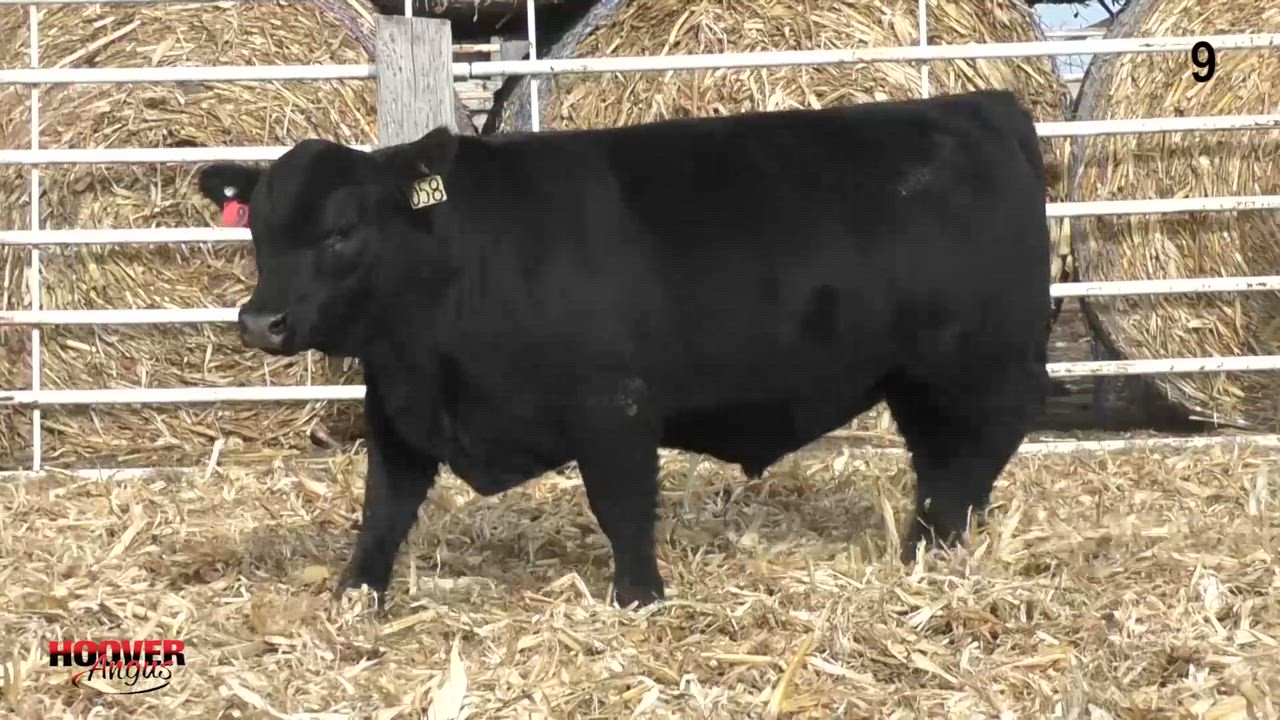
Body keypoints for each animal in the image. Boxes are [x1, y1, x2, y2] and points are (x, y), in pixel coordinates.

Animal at [197, 89, 1051, 610]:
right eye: (258, 226)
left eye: (341, 231)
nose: (261, 321)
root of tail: (983, 105)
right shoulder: (398, 412)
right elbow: (382, 509)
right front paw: (354, 594)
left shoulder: (614, 406)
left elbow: (623, 507)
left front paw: (639, 598)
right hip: (919, 378)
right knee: (944, 467)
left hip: (978, 368)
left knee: (969, 461)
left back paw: (927, 558)